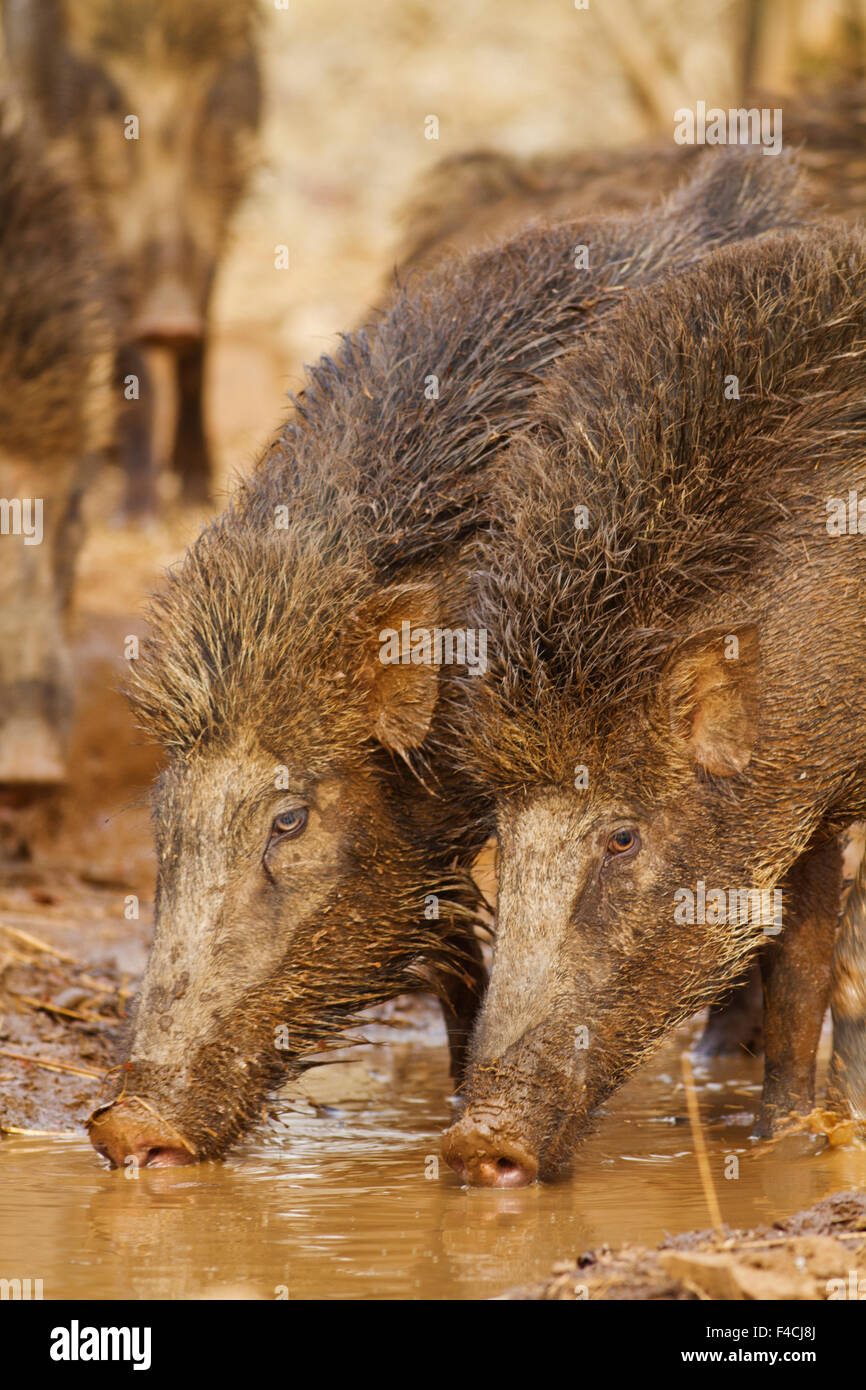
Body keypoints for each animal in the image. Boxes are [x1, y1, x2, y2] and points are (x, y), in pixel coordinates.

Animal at [3, 0, 261, 515]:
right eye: (108, 95)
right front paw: (137, 516)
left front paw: (196, 497)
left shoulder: (225, 201)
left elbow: (200, 350)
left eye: (210, 97)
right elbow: (130, 356)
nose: (170, 319)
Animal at [441, 224, 866, 1185]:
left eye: (623, 837)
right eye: (500, 839)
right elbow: (799, 965)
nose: (476, 1140)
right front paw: (778, 1137)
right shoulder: (805, 796)